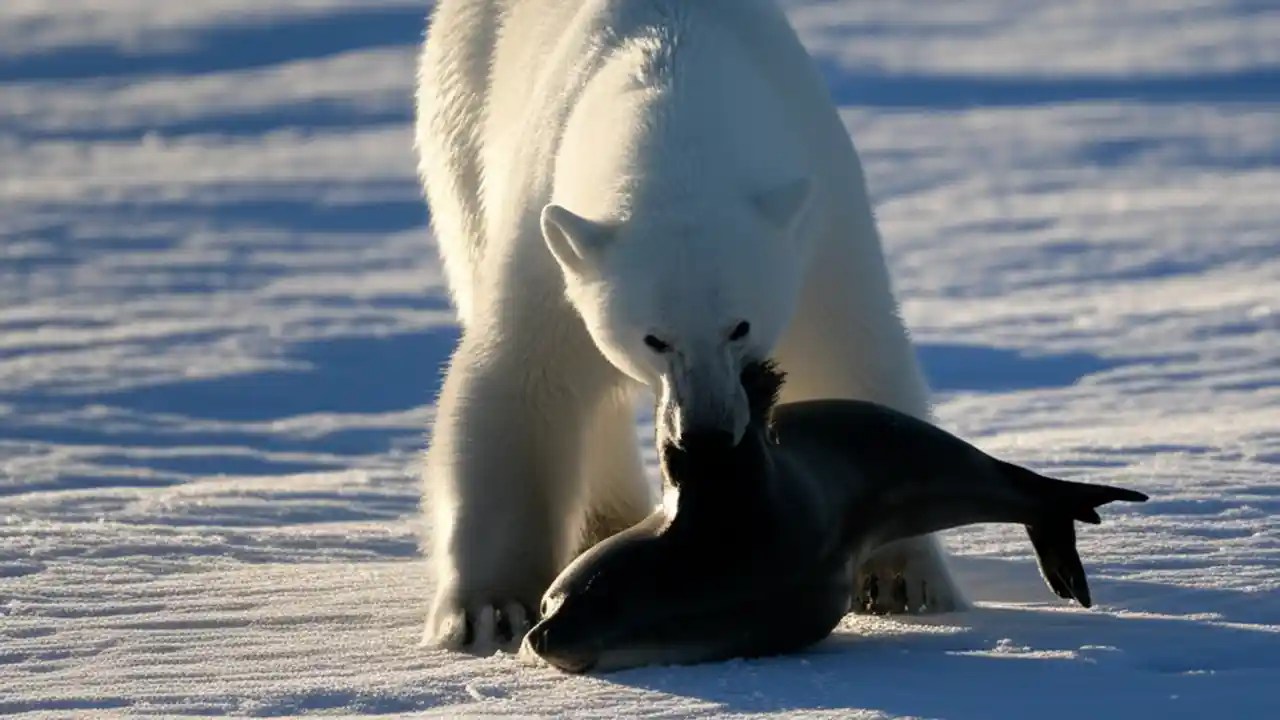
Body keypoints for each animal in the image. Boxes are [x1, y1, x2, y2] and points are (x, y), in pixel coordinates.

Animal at [415, 0, 960, 652]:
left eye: (740, 327)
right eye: (654, 338)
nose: (704, 432)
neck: (676, 69)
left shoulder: (817, 226)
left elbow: (850, 355)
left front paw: (903, 580)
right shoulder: (545, 241)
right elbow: (519, 384)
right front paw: (490, 610)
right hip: (462, 118)